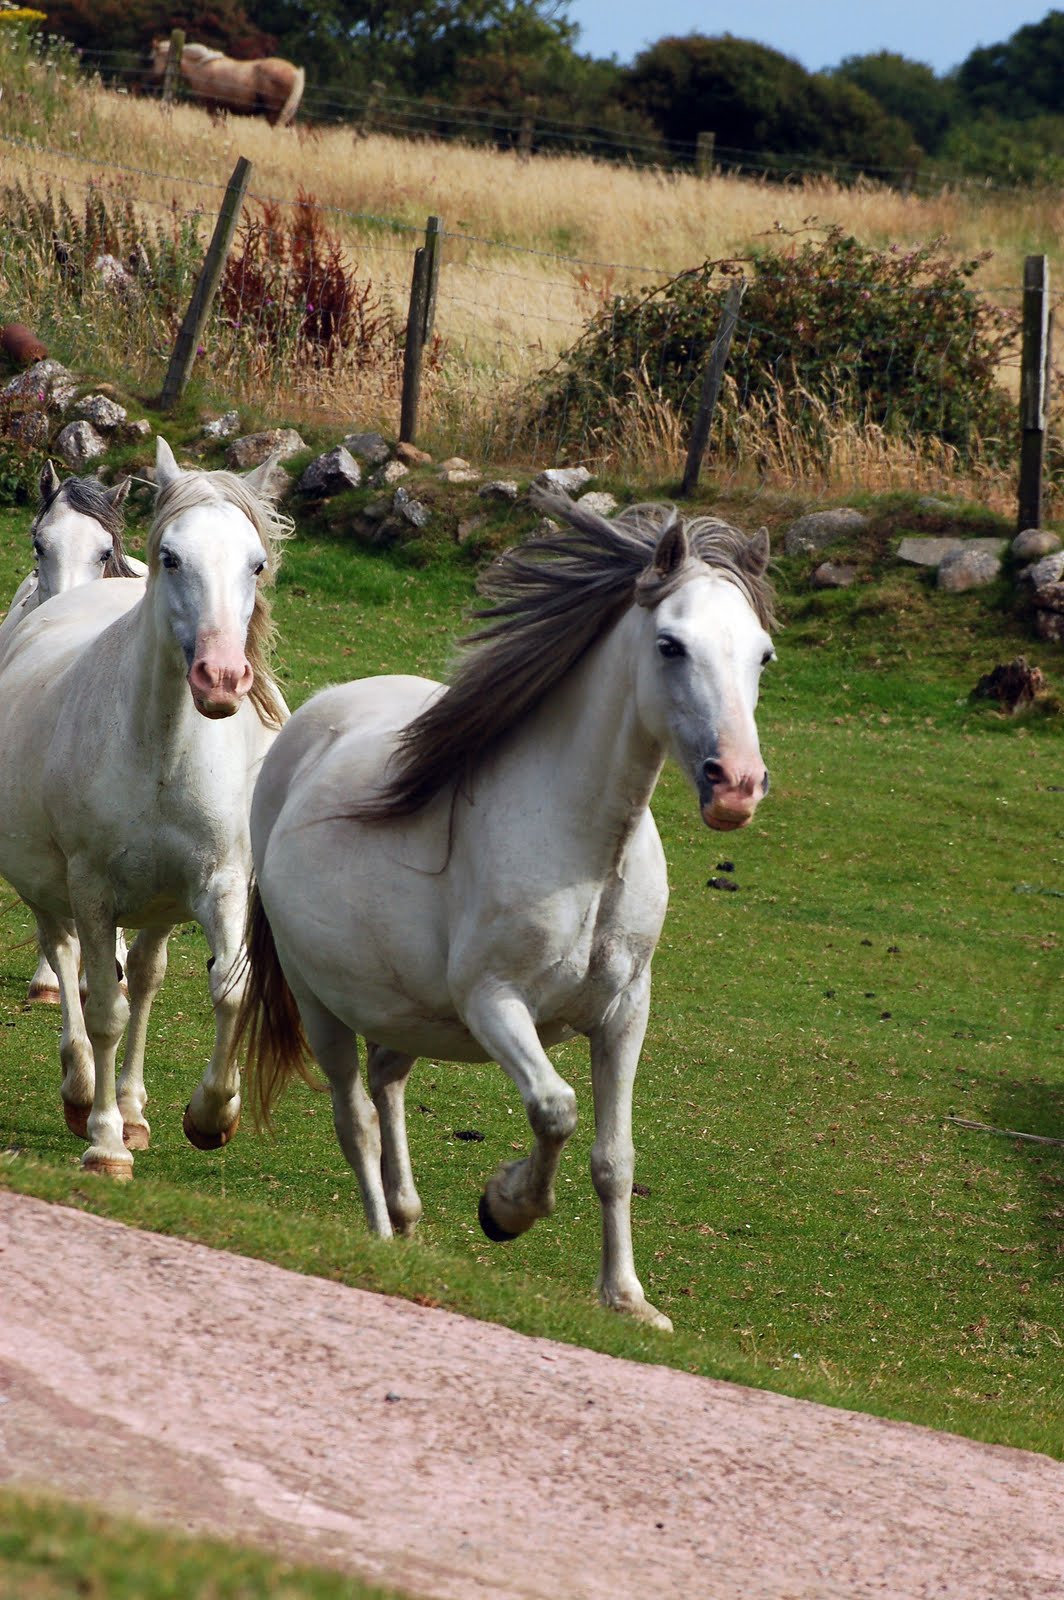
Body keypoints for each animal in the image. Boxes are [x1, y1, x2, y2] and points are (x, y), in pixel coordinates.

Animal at [150, 40, 305, 127]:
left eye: (156, 56)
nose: (154, 77)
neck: (202, 67)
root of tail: (295, 72)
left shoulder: (212, 108)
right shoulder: (222, 111)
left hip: (274, 115)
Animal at [235, 490, 776, 1330]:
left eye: (763, 656)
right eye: (670, 645)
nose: (737, 787)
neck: (587, 849)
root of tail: (310, 724)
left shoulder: (626, 1012)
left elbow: (614, 1158)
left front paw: (627, 1299)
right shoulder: (494, 1003)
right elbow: (555, 1109)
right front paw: (506, 1206)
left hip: (404, 1009)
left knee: (387, 1081)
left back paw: (408, 1215)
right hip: (318, 1001)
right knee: (354, 1115)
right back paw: (383, 1234)